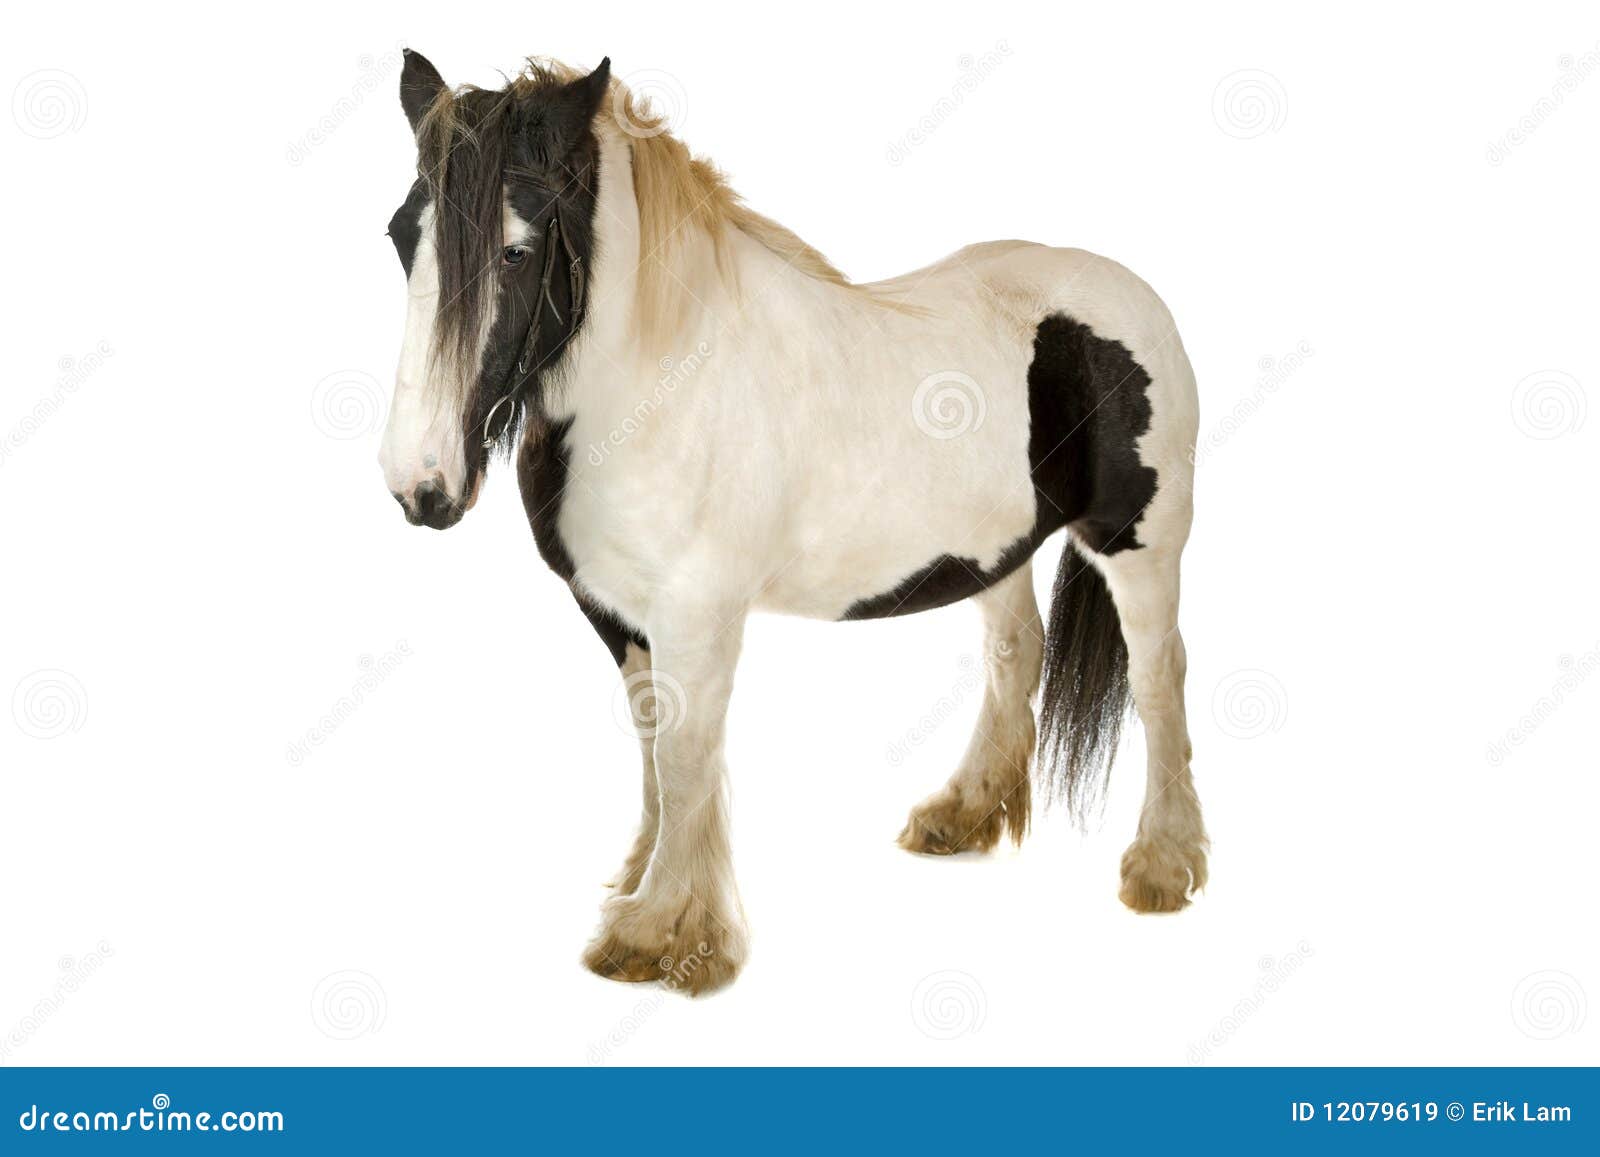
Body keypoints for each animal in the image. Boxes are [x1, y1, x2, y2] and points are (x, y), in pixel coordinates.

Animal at [377, 50, 1208, 994]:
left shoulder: (697, 613)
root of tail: (1132, 293)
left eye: (517, 249)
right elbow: (654, 755)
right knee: (1015, 654)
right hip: (997, 550)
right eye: (401, 235)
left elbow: (685, 759)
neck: (656, 382)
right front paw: (642, 886)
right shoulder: (619, 614)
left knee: (1159, 676)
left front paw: (665, 934)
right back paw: (960, 816)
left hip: (1142, 543)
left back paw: (1163, 864)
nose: (421, 485)